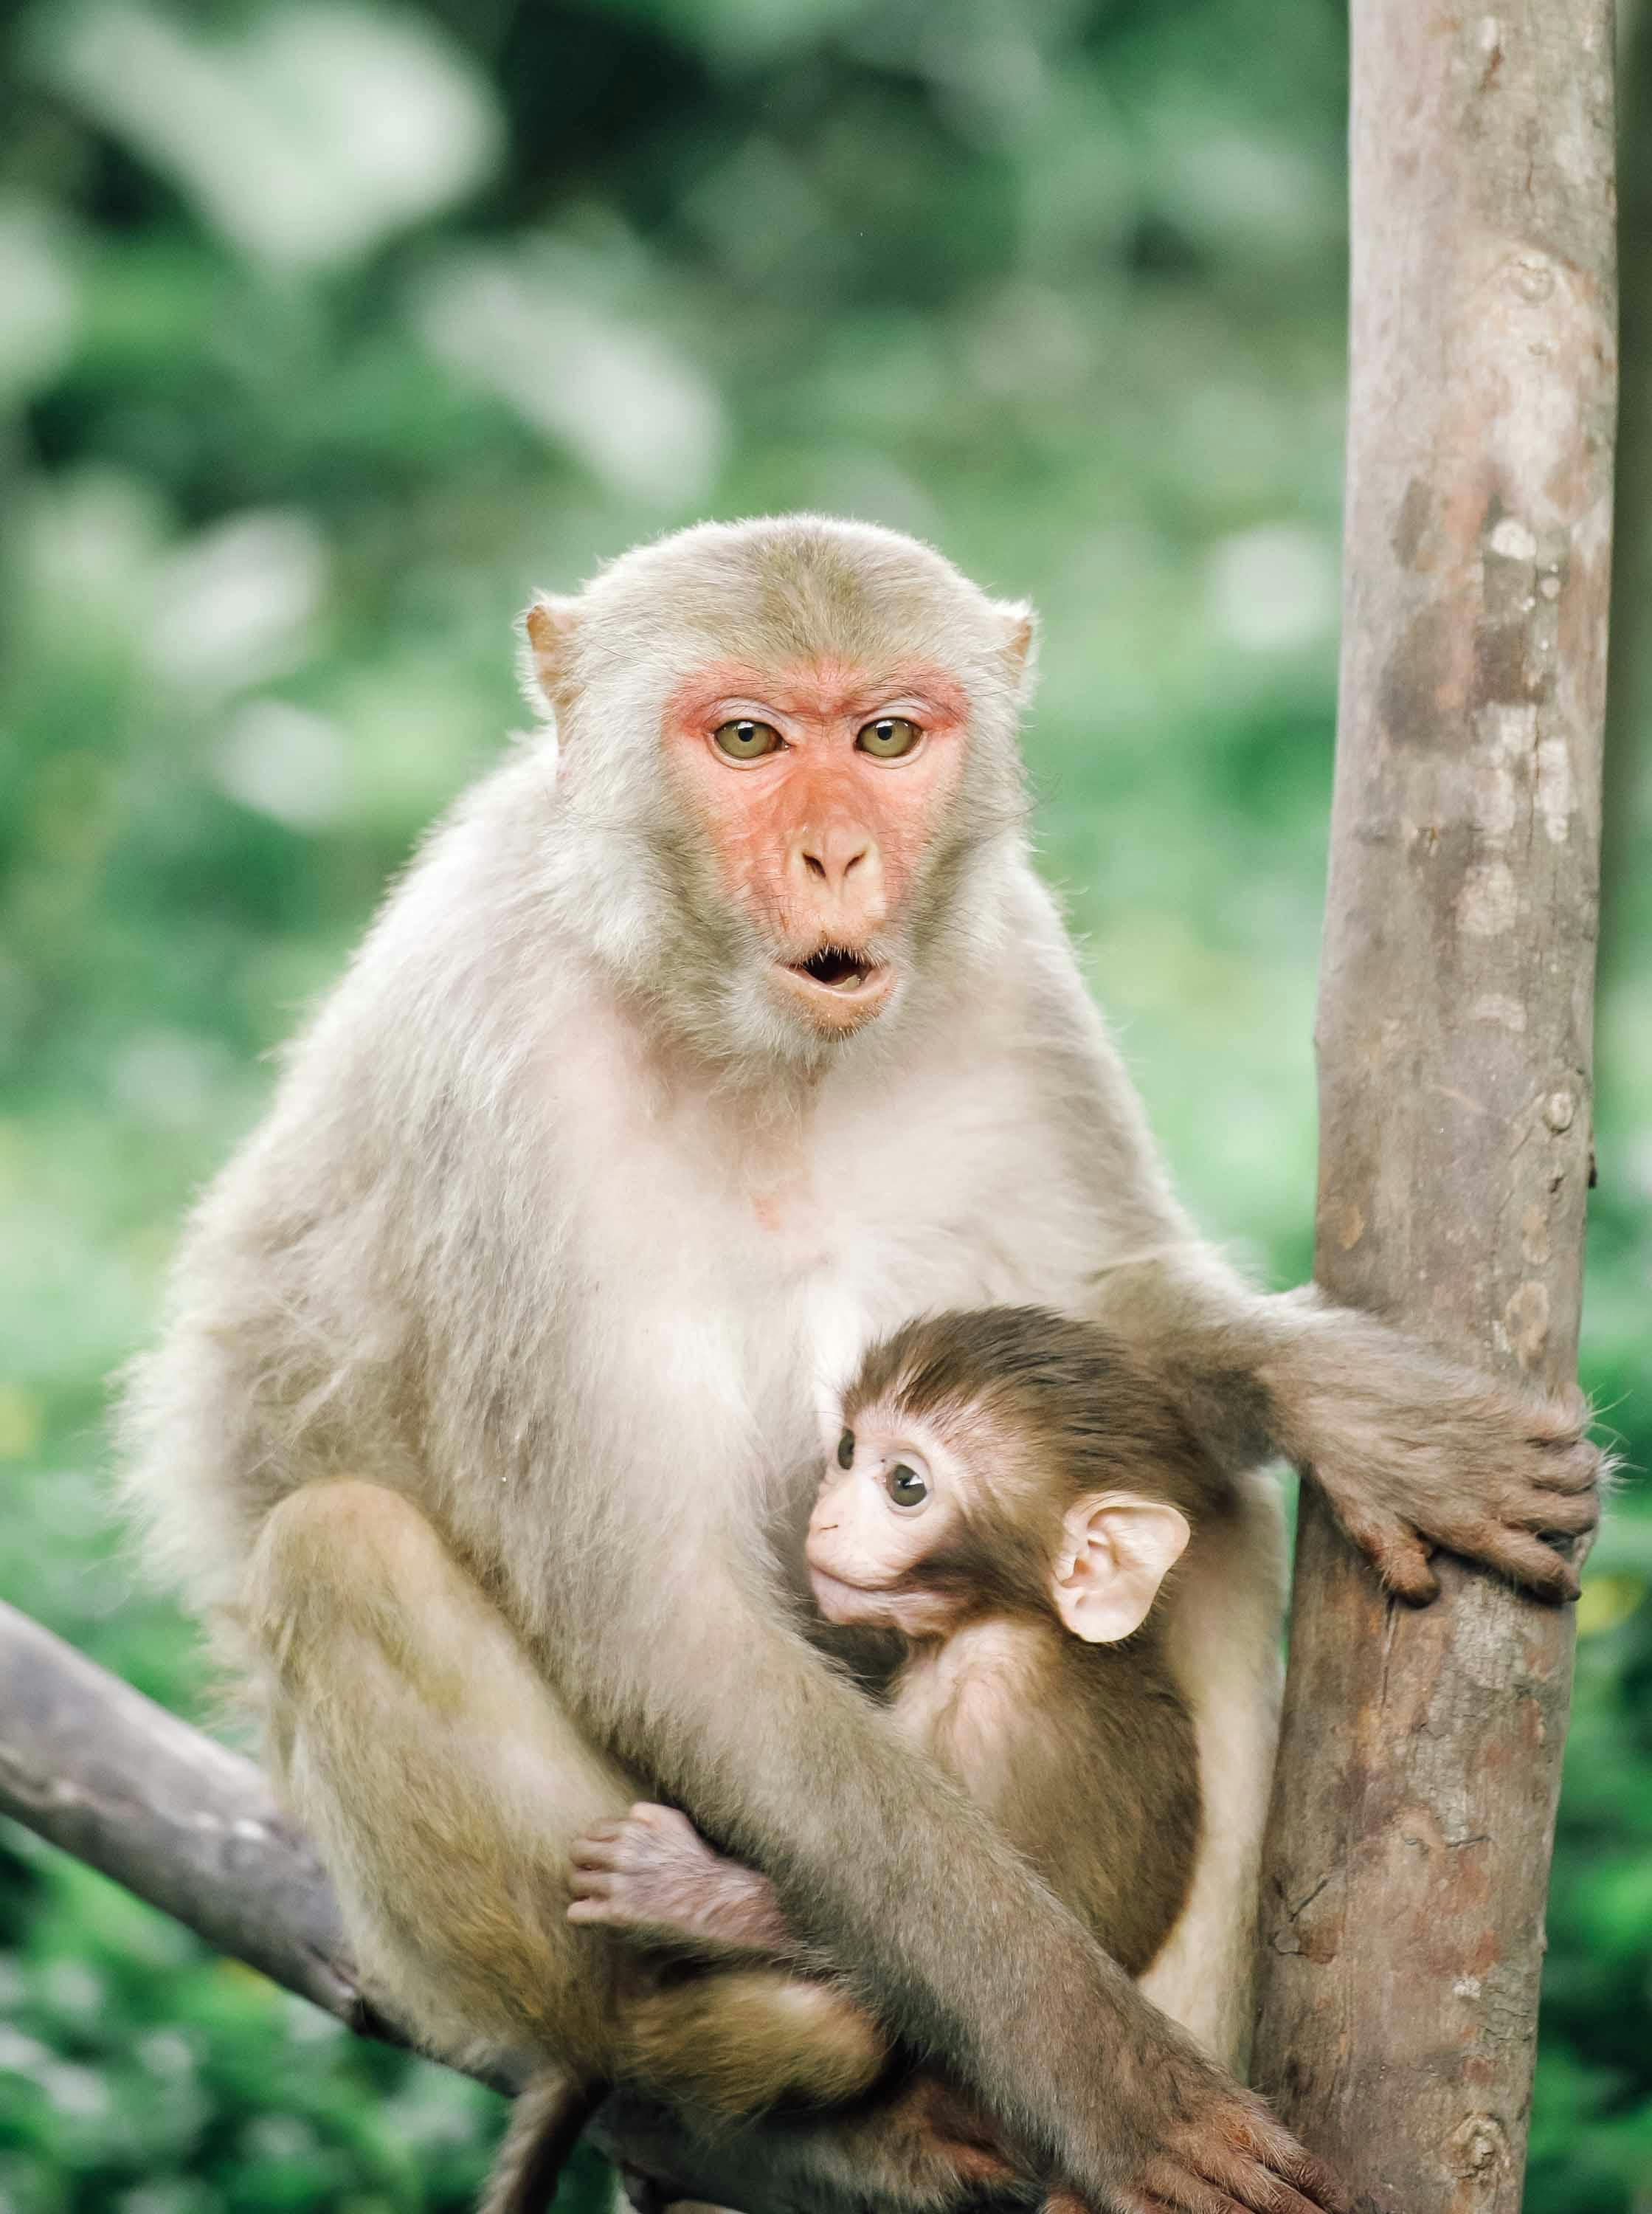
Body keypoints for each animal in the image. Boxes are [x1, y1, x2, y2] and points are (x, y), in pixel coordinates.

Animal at [119, 515, 1599, 2214]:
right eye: (747, 741)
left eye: (887, 739)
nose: (838, 857)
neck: (749, 1047)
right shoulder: (481, 1056)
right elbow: (662, 1624)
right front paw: (1106, 2075)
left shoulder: (1012, 966)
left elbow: (1101, 1314)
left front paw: (1352, 1409)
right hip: (460, 1963)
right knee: (335, 1546)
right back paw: (767, 2063)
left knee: (1204, 1520)